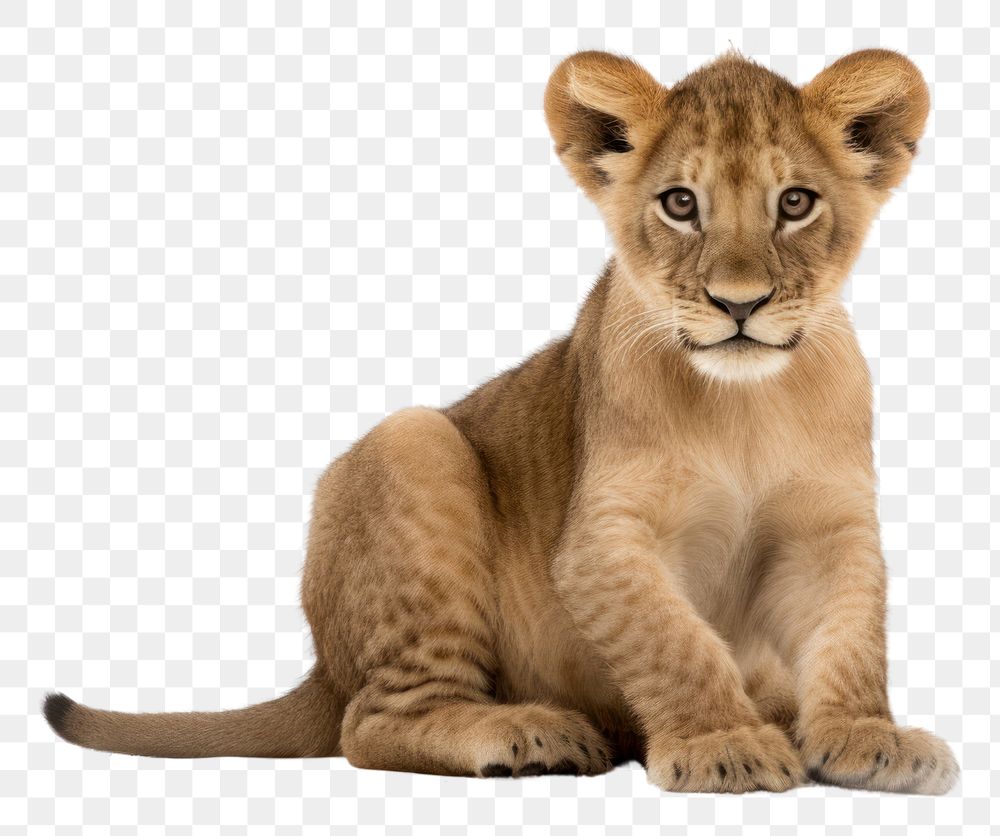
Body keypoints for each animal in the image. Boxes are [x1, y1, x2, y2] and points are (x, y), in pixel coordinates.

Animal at [45, 49, 958, 794]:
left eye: (795, 203)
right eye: (680, 203)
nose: (740, 305)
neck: (745, 402)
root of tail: (324, 671)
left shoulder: (829, 525)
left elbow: (852, 634)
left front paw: (868, 737)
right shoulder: (601, 541)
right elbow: (672, 639)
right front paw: (721, 744)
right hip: (412, 448)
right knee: (372, 725)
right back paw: (533, 734)